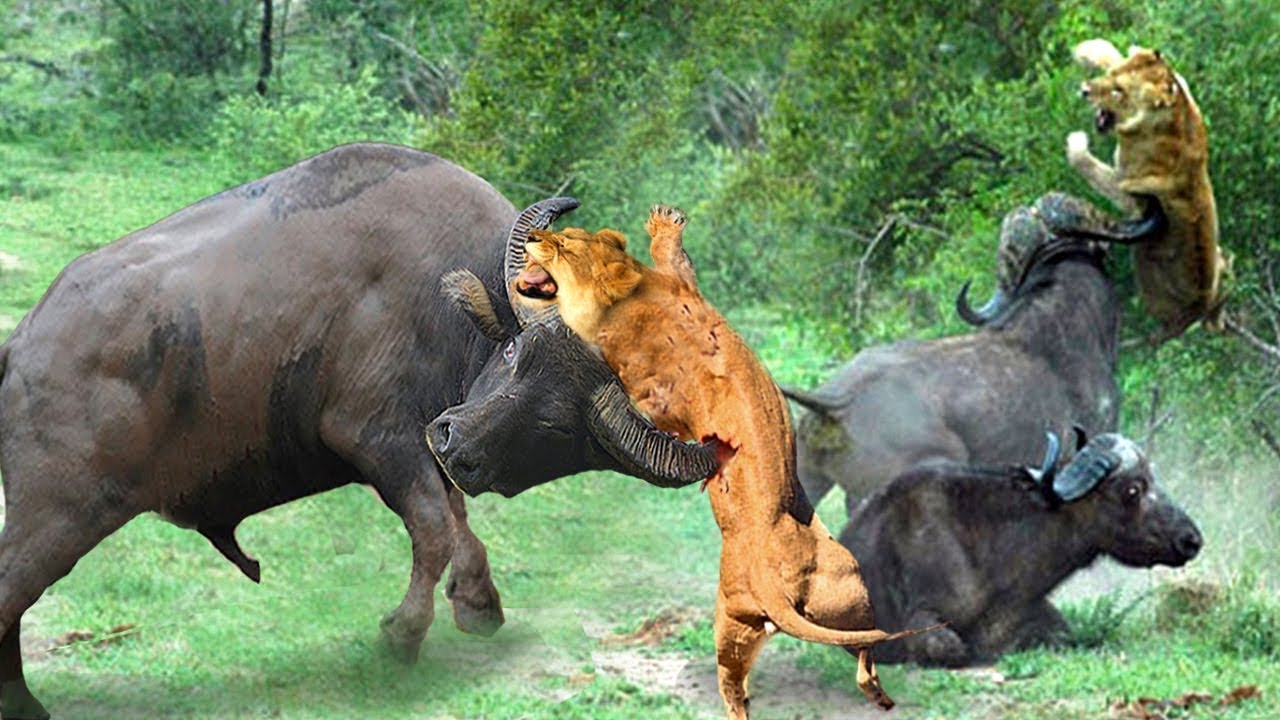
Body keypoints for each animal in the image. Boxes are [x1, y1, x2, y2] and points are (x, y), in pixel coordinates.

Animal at [0, 143, 713, 720]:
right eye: (515, 352)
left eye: (559, 425)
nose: (461, 445)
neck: (447, 302)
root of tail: (24, 345)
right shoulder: (382, 442)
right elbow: (434, 530)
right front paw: (401, 636)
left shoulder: (429, 446)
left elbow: (456, 524)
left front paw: (477, 604)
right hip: (58, 518)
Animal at [514, 205, 933, 719]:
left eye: (565, 244)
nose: (532, 235)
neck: (628, 299)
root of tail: (771, 585)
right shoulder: (680, 286)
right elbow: (677, 259)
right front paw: (665, 221)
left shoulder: (654, 379)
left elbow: (654, 402)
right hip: (835, 591)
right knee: (851, 655)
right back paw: (876, 696)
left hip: (767, 608)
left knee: (763, 679)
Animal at [1067, 39, 1228, 339]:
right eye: (1112, 77)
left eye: (1118, 91)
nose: (1084, 90)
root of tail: (1199, 310)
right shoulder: (1184, 89)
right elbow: (1119, 52)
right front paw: (1090, 50)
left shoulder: (1133, 194)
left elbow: (1083, 161)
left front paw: (1076, 142)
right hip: (1221, 261)